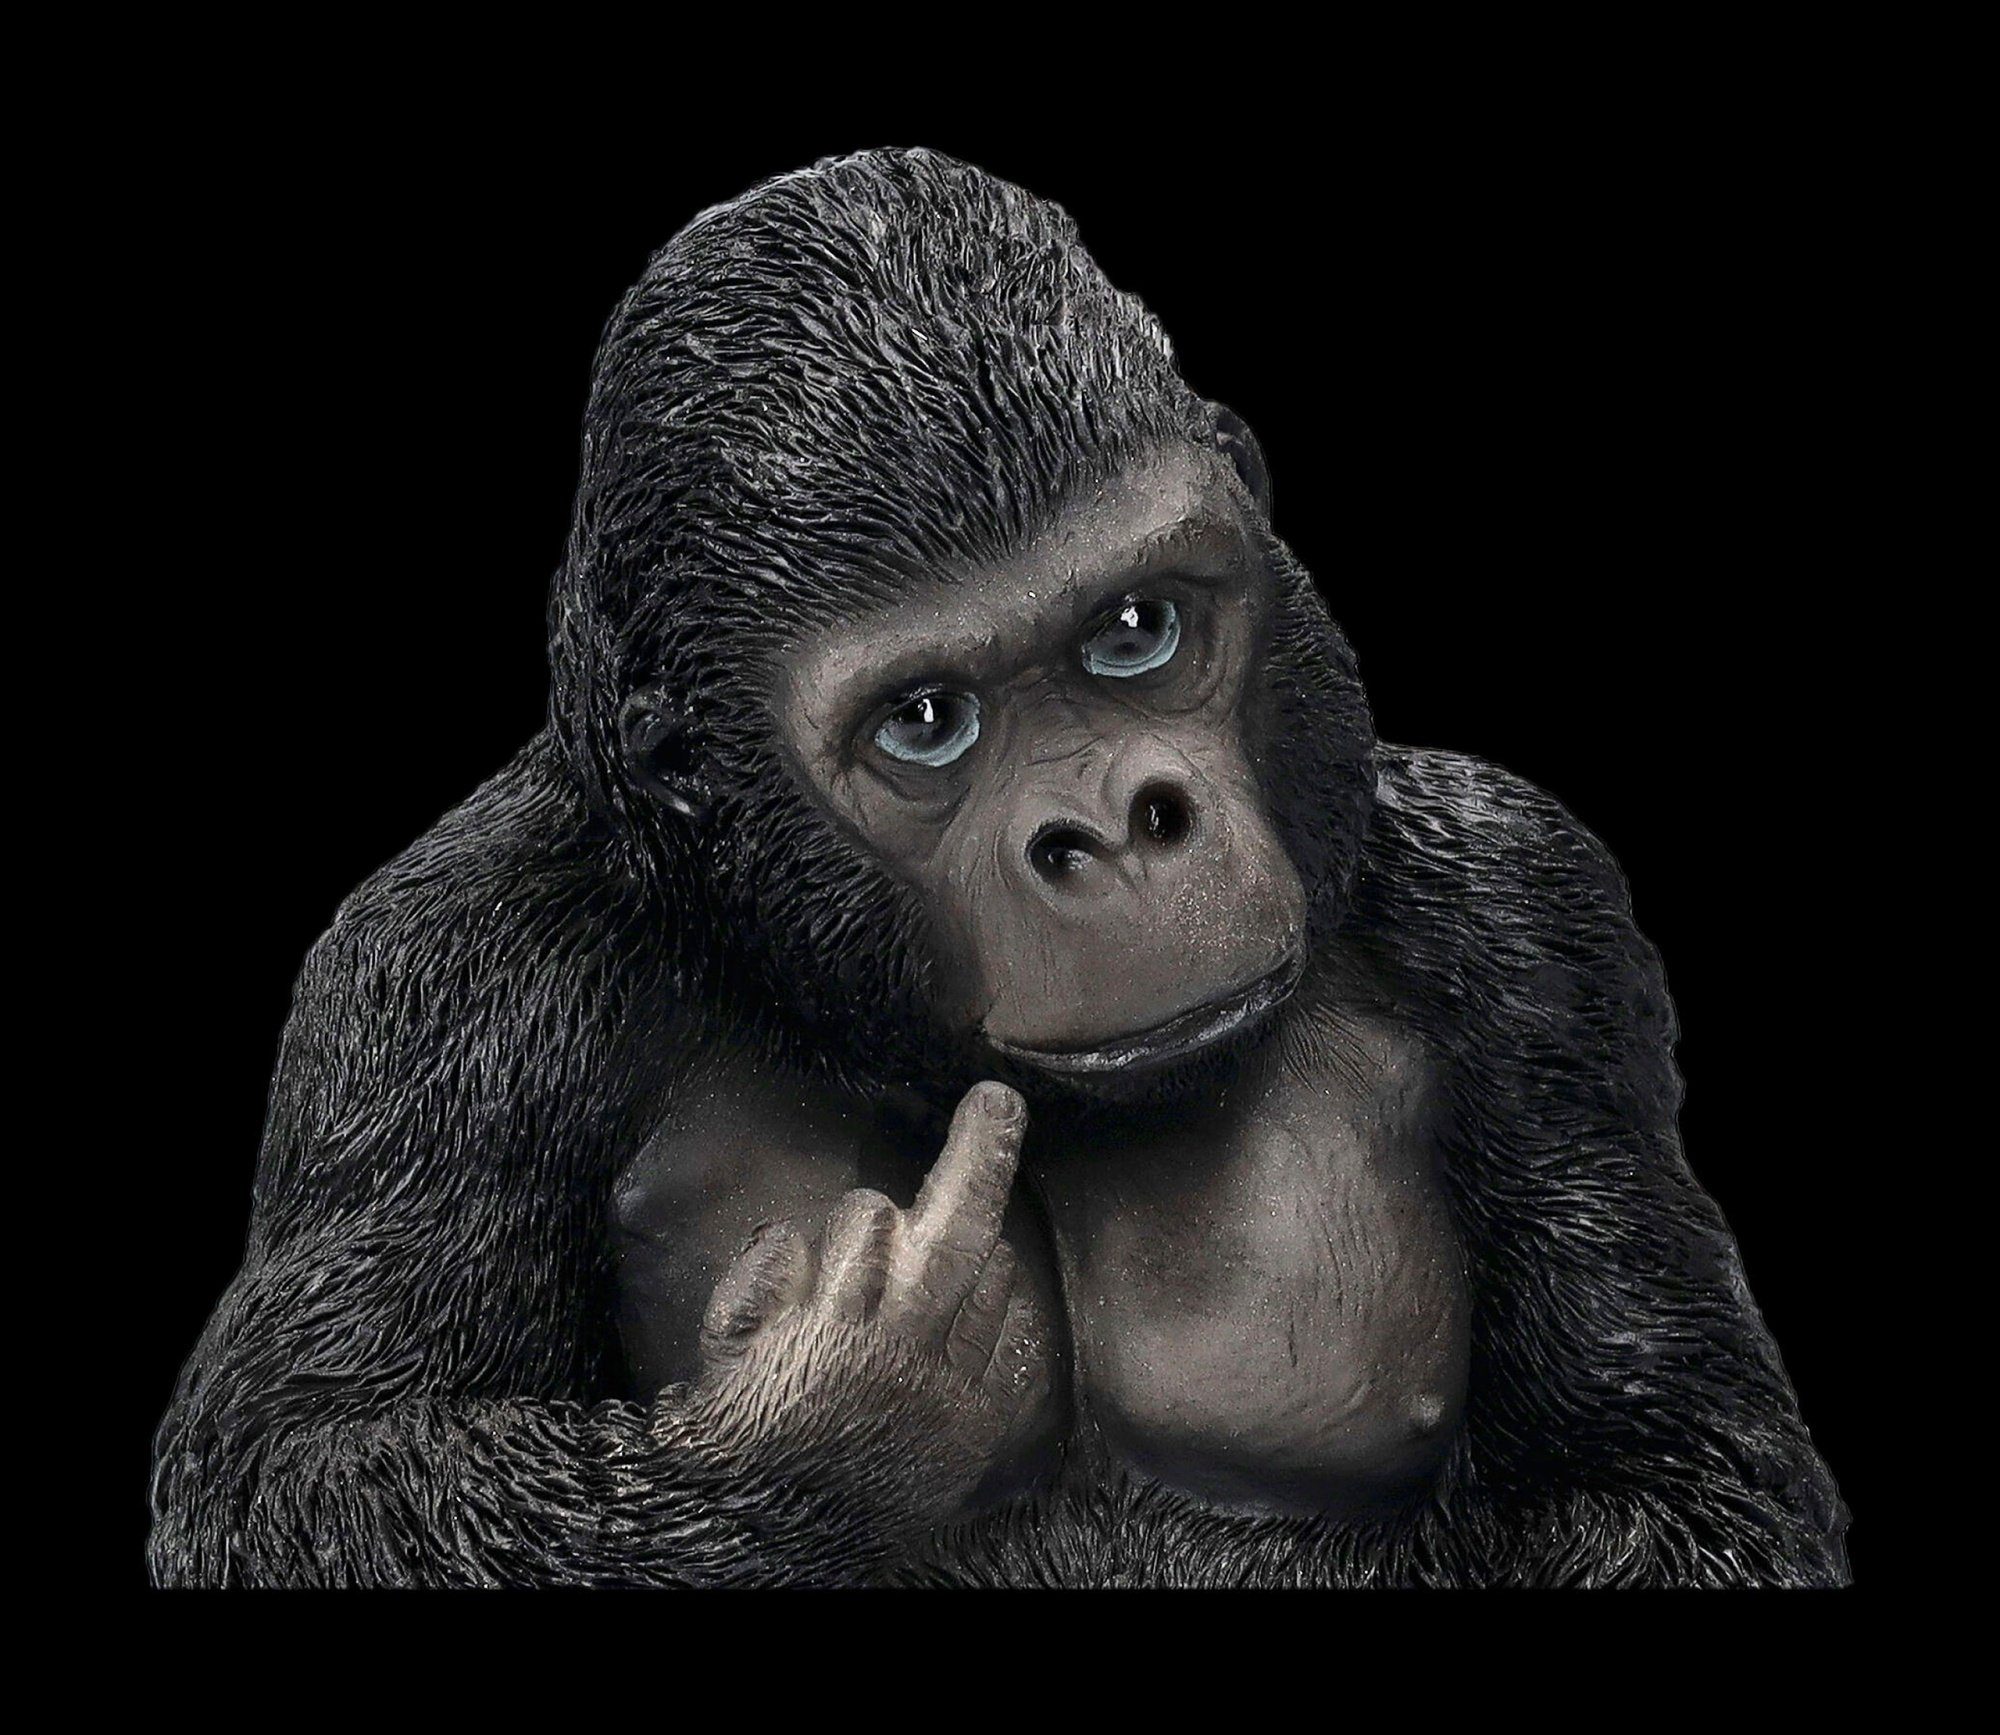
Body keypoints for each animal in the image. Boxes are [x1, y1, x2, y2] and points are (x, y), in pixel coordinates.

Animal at [149, 147, 1848, 1587]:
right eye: (927, 722)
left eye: (1137, 628)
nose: (1115, 827)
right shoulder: (439, 981)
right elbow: (305, 1472)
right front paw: (828, 1430)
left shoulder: (1528, 915)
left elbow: (1691, 1479)